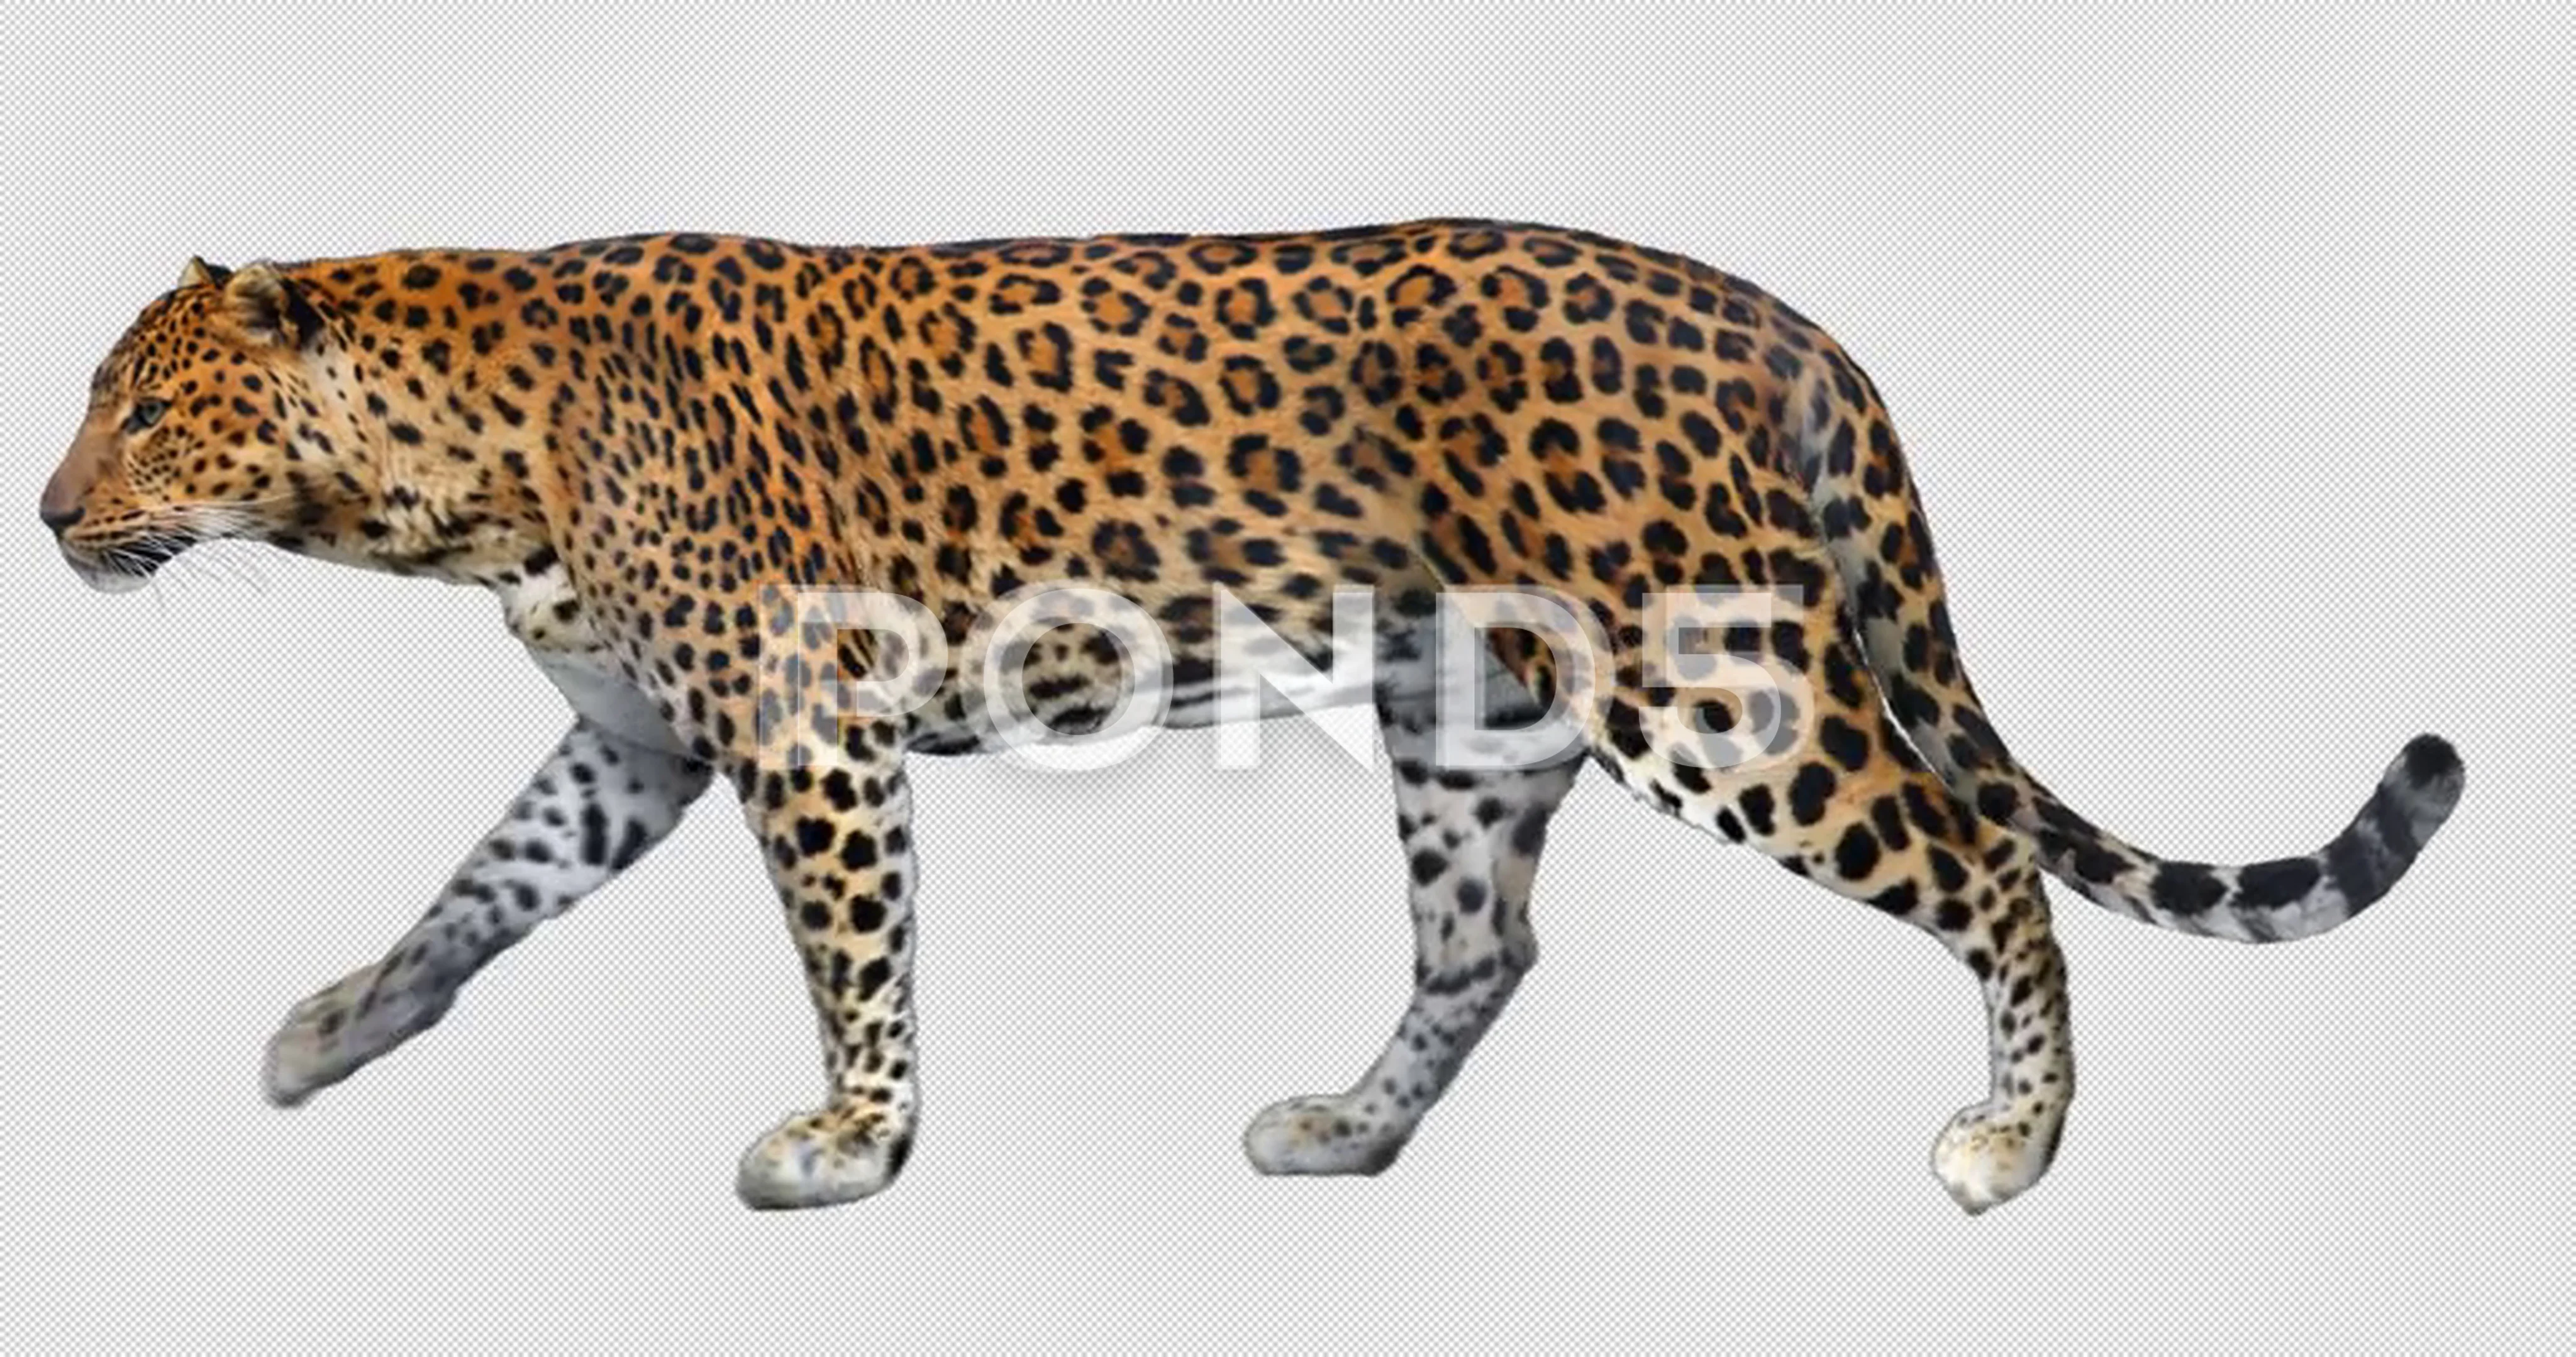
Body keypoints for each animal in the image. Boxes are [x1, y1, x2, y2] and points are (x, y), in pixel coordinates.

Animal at [38, 220, 2464, 1212]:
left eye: (145, 411)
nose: (47, 513)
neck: (454, 477)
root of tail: (1789, 321)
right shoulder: (630, 736)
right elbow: (477, 888)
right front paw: (336, 1022)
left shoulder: (804, 730)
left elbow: (851, 953)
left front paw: (850, 1140)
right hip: (1471, 708)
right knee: (1486, 938)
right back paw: (1344, 1129)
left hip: (1717, 683)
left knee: (1972, 857)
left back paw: (2011, 1144)